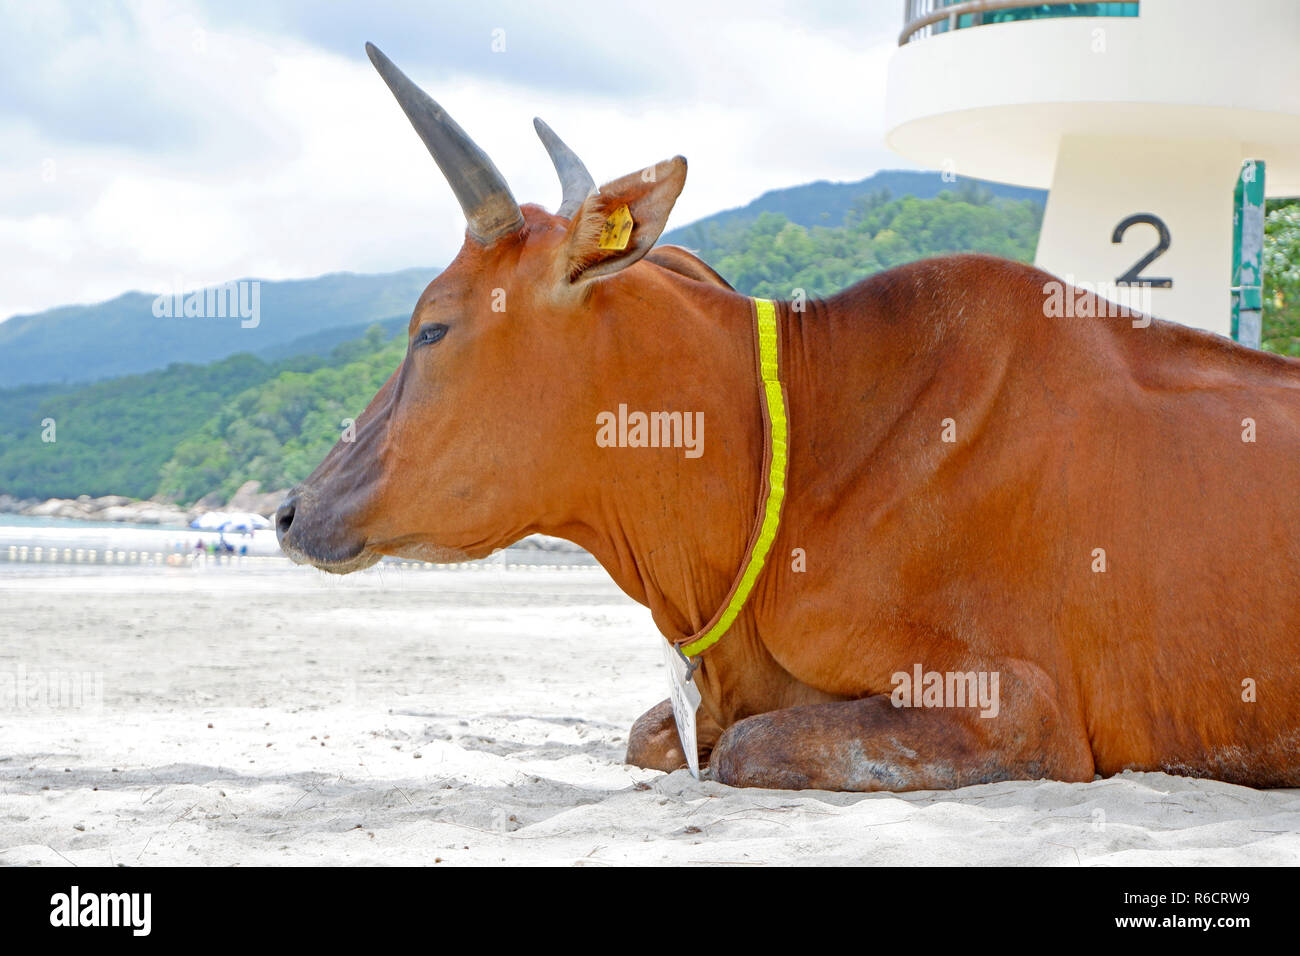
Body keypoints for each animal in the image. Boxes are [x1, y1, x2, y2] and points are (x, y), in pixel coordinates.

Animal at [276, 43, 1300, 792]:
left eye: (431, 327)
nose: (287, 511)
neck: (801, 448)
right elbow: (655, 735)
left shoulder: (1021, 710)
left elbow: (743, 748)